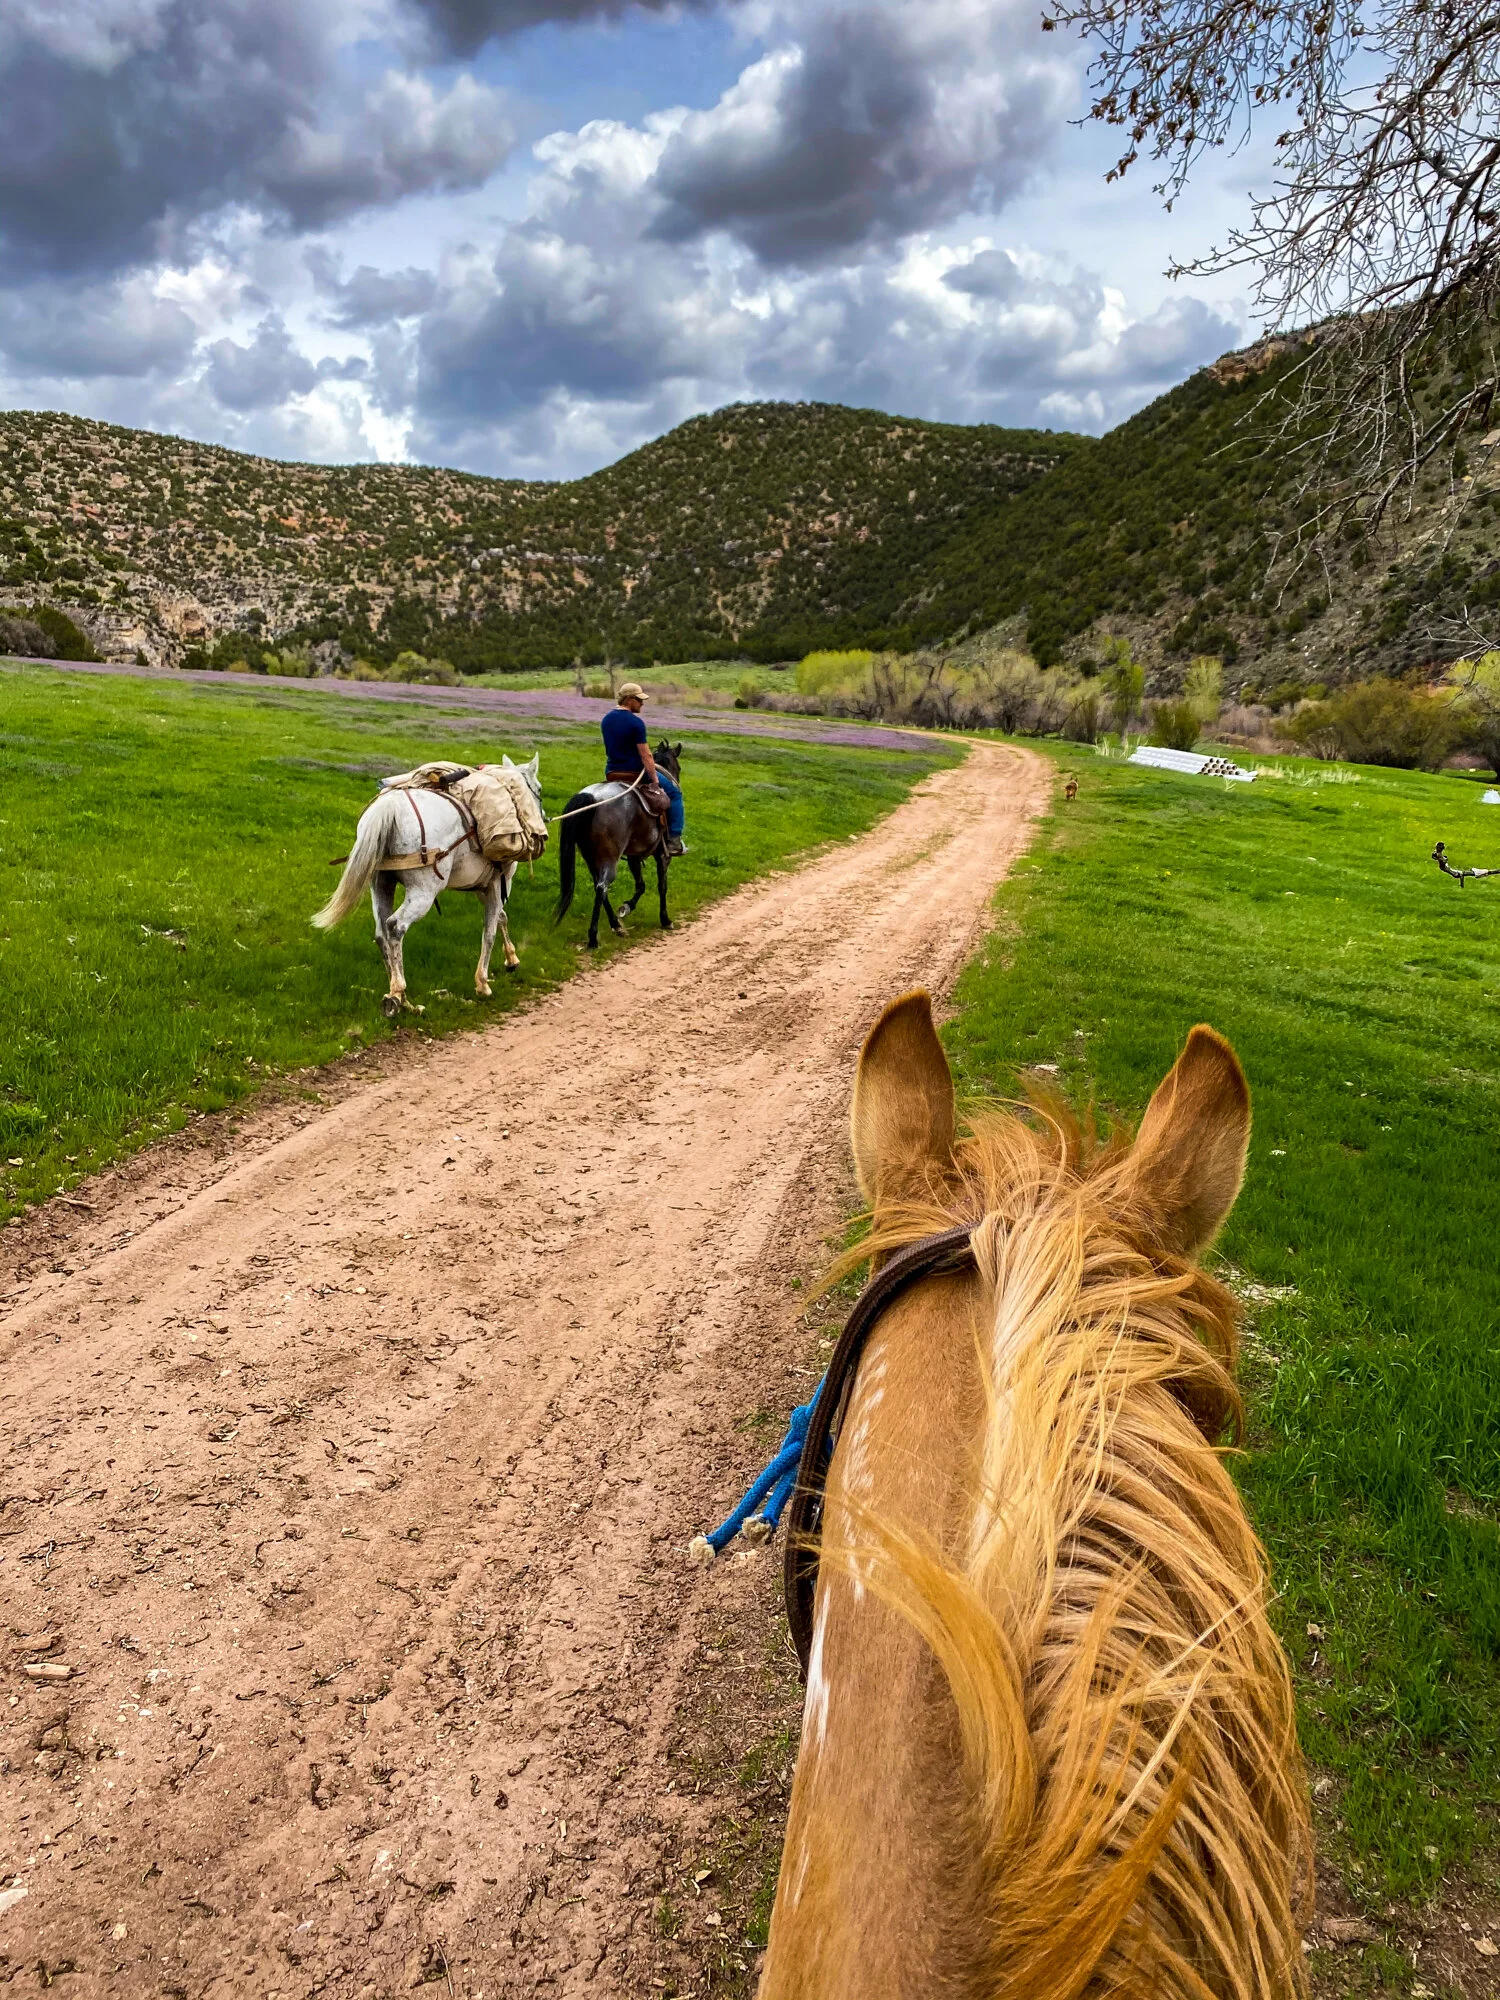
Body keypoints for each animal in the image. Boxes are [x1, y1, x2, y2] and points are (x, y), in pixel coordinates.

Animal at [311, 755, 547, 1017]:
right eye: (539, 790)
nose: (545, 816)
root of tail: (390, 807)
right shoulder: (499, 882)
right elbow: (490, 930)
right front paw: (483, 984)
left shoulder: (482, 886)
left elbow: (500, 918)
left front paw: (511, 960)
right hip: (422, 893)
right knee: (395, 926)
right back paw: (399, 995)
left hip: (381, 884)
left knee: (382, 932)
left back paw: (397, 993)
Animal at [553, 740, 682, 949]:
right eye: (677, 767)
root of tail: (592, 797)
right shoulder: (663, 855)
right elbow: (662, 886)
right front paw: (665, 920)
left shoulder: (634, 855)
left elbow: (641, 885)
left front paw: (626, 907)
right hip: (609, 857)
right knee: (601, 887)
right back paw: (593, 937)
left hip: (591, 857)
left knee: (600, 886)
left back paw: (616, 925)